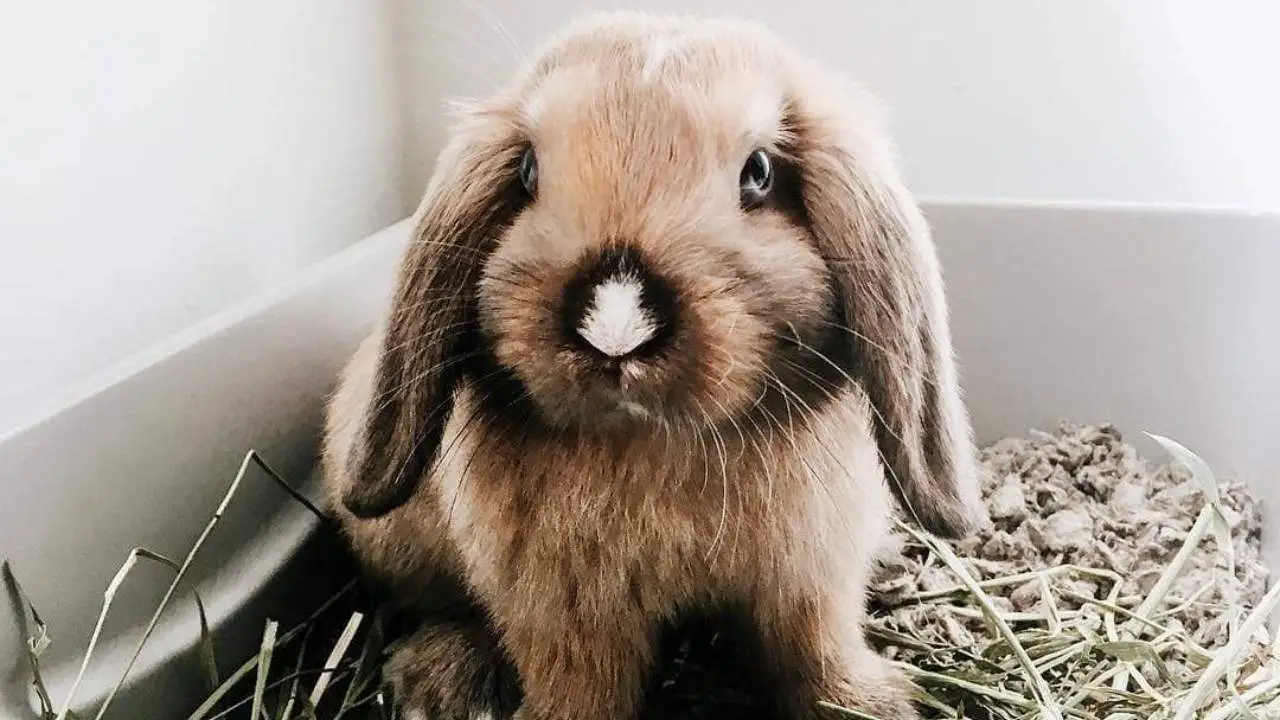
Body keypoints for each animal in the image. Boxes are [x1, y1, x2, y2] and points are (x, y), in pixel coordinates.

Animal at [320, 10, 987, 720]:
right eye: (527, 172)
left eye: (759, 173)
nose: (615, 328)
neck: (652, 442)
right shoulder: (562, 607)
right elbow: (580, 683)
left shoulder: (809, 578)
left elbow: (816, 650)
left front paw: (871, 703)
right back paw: (441, 678)